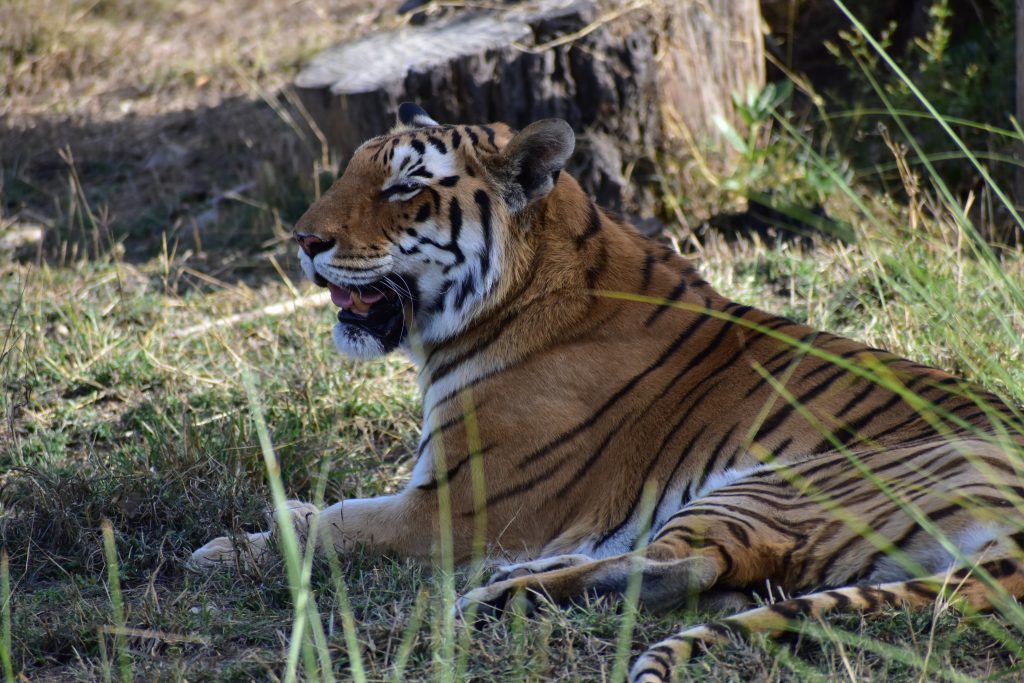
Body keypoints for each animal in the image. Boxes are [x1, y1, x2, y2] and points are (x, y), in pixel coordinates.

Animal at [191, 103, 1024, 682]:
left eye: (403, 186)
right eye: (350, 173)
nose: (304, 240)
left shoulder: (452, 504)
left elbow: (336, 523)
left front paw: (229, 548)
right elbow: (323, 510)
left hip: (776, 482)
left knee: (698, 565)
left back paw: (495, 597)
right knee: (727, 580)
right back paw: (517, 580)